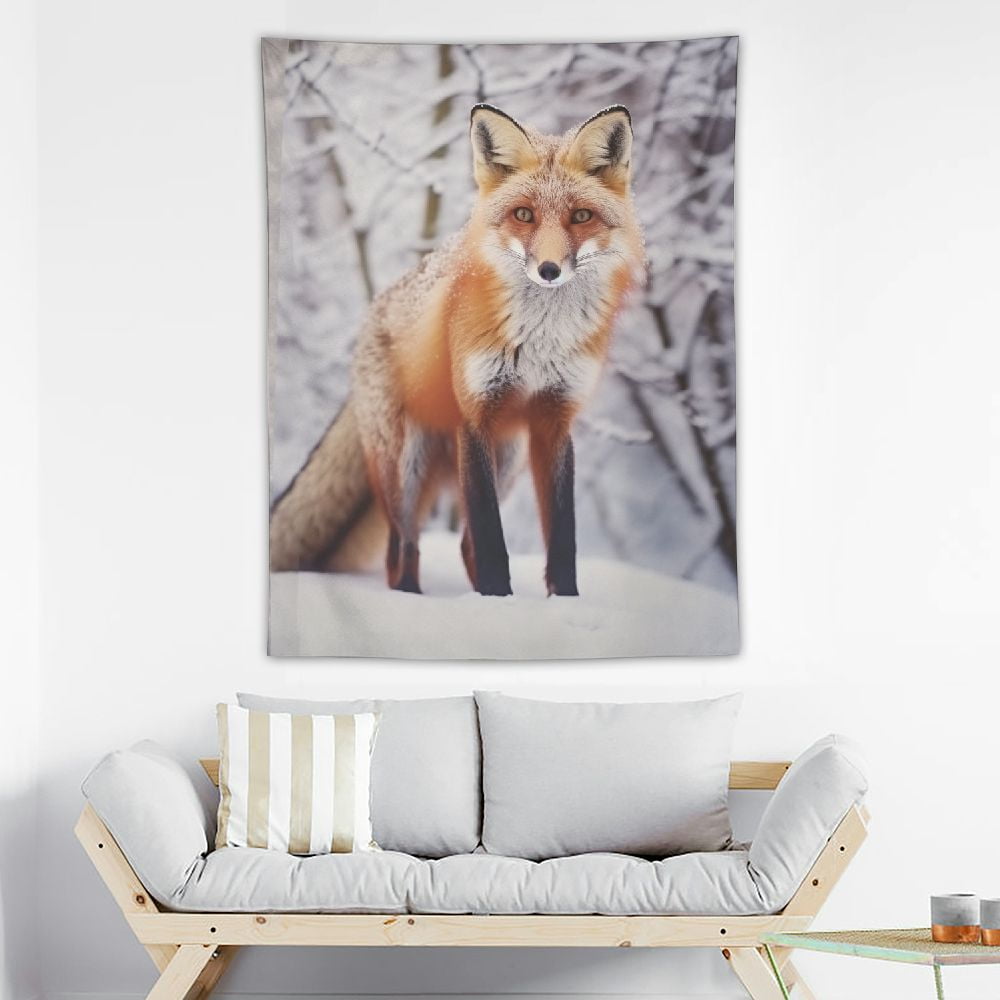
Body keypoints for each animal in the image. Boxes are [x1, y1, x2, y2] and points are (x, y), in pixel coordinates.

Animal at [270, 103, 646, 597]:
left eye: (581, 216)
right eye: (523, 214)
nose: (549, 270)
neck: (540, 339)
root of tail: (373, 310)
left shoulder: (555, 419)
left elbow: (562, 538)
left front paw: (561, 603)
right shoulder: (475, 414)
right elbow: (490, 537)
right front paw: (497, 601)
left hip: (508, 460)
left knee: (461, 543)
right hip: (406, 466)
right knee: (403, 549)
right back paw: (413, 598)